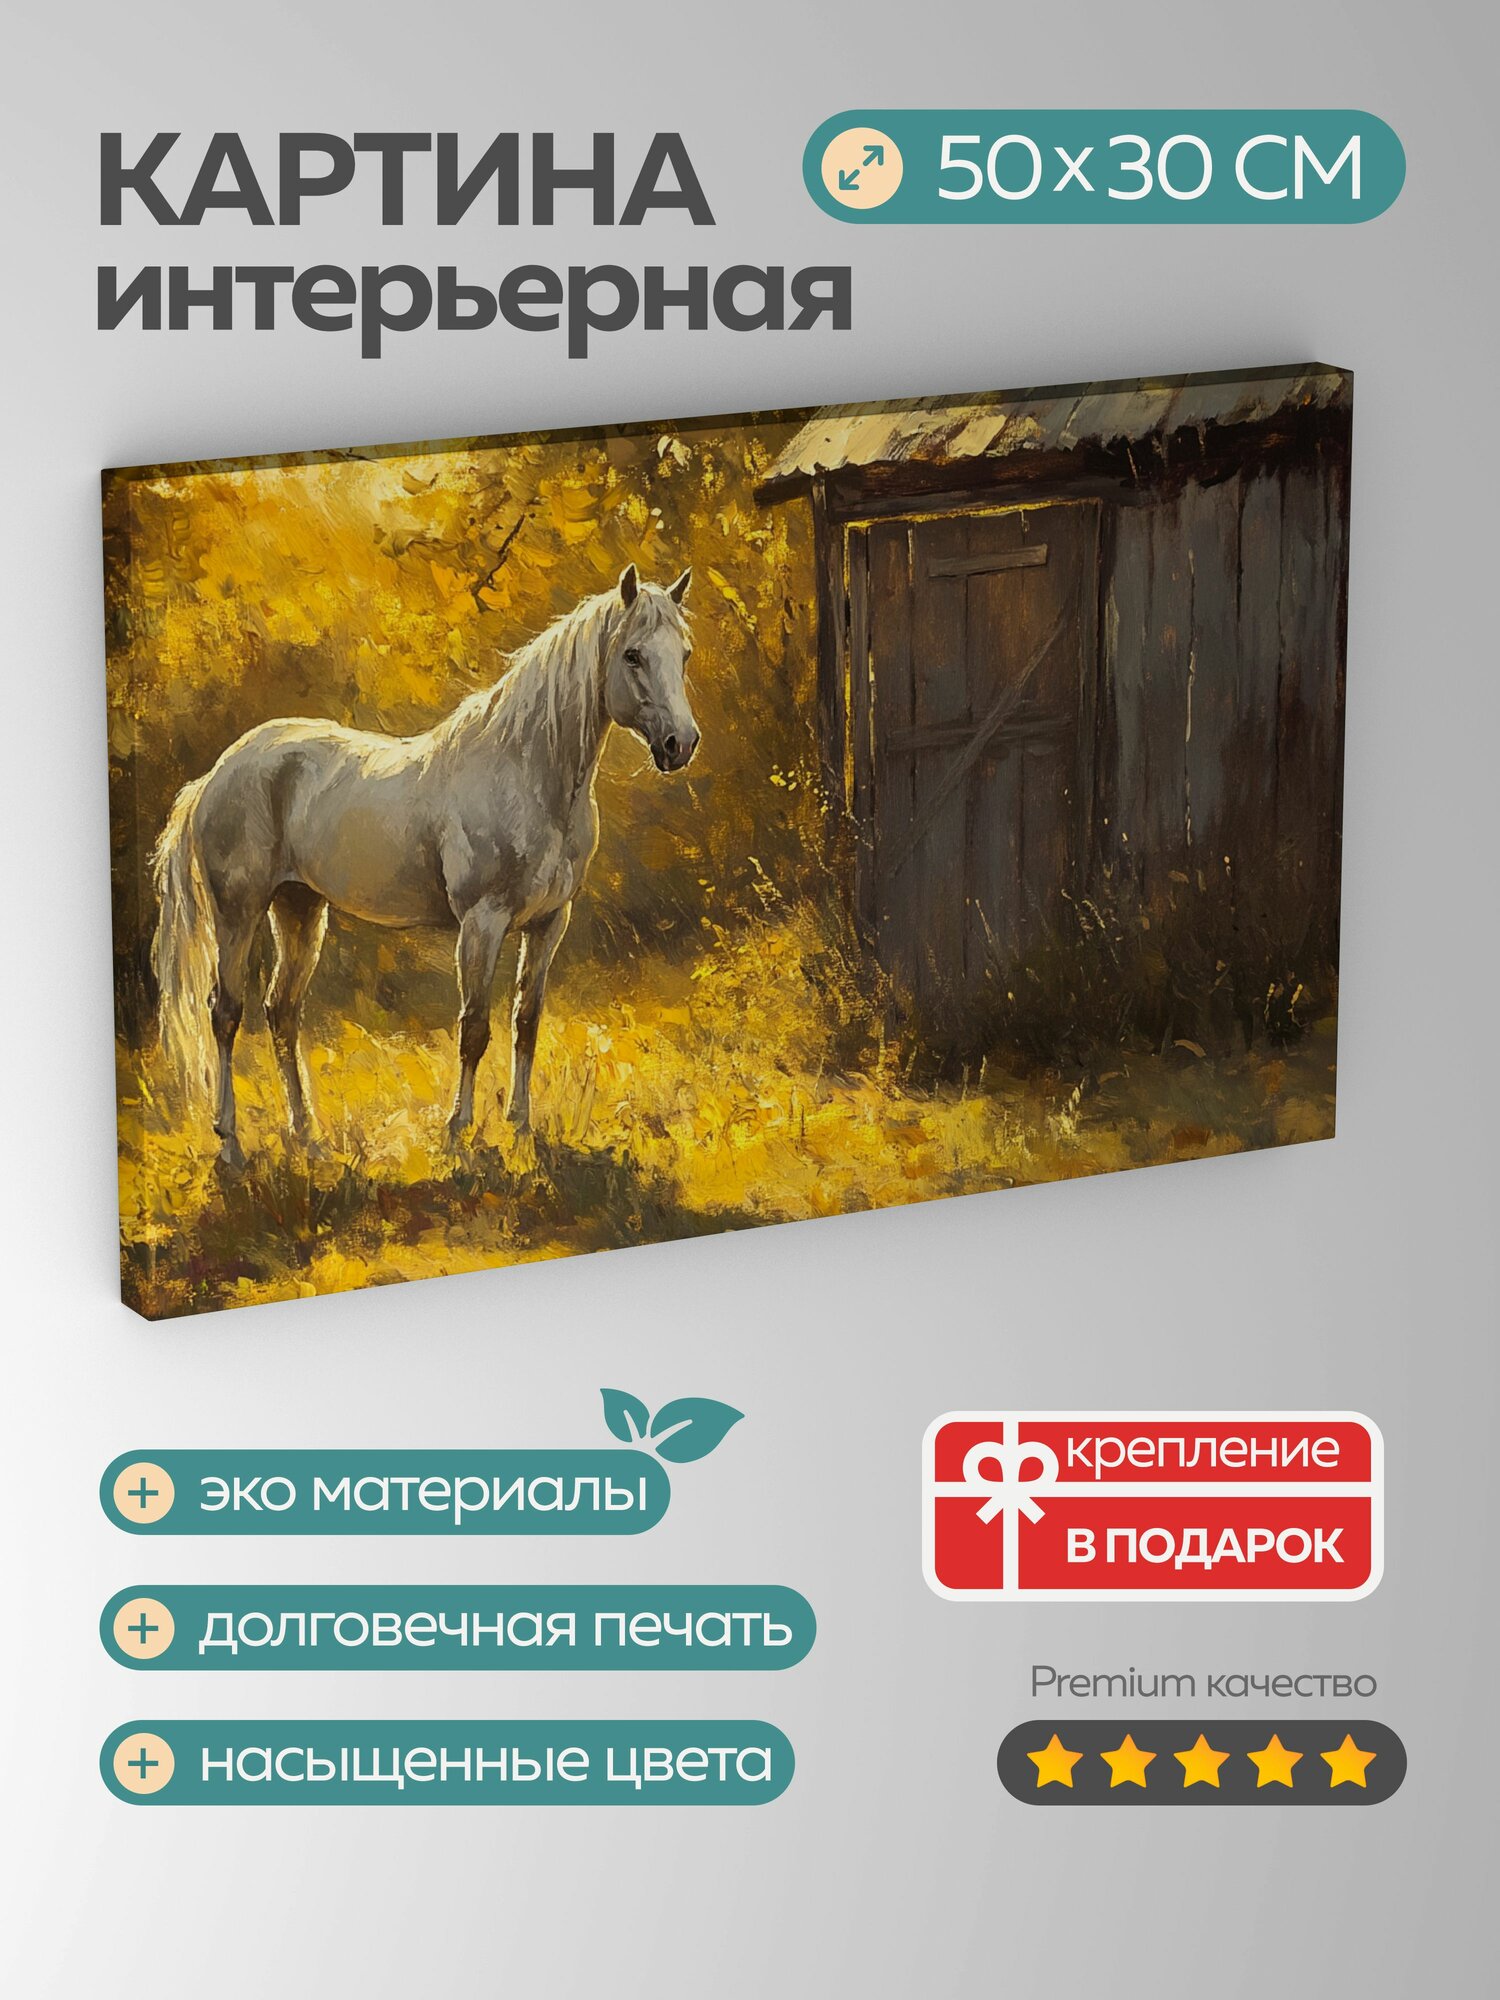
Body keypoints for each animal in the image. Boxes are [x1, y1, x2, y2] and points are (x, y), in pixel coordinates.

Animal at [150, 563, 697, 1169]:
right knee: (225, 1013)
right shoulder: (482, 923)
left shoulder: (549, 922)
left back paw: (307, 1136)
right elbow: (474, 1029)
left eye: (684, 653)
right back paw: (230, 1145)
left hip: (299, 908)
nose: (681, 744)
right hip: (238, 912)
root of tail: (215, 775)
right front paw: (458, 1134)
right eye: (633, 655)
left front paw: (521, 1131)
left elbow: (525, 1023)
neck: (526, 774)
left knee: (281, 1011)